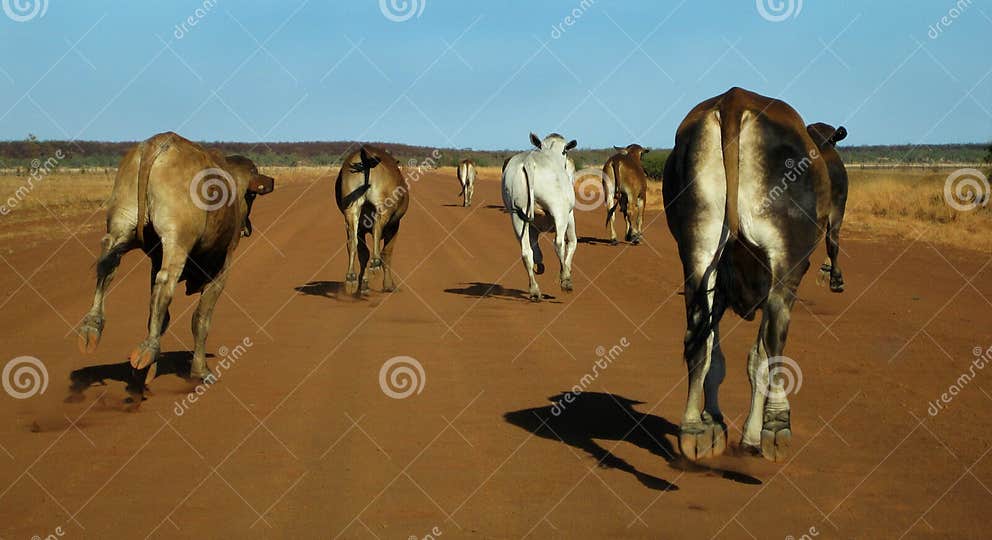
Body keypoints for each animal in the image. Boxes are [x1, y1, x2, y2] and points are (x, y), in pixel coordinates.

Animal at [76, 132, 274, 385]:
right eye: (251, 196)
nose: (247, 228)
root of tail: (159, 142)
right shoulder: (221, 270)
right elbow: (200, 319)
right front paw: (200, 370)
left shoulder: (154, 261)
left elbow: (159, 315)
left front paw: (147, 371)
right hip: (176, 241)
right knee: (165, 282)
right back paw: (148, 348)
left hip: (121, 226)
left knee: (107, 267)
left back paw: (92, 328)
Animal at [335, 145, 408, 296]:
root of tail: (365, 153)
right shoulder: (394, 226)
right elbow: (387, 253)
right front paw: (388, 285)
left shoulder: (361, 229)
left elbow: (363, 252)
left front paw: (363, 284)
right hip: (383, 208)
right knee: (376, 228)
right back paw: (375, 263)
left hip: (352, 211)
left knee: (352, 242)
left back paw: (351, 278)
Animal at [501, 133, 578, 302]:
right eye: (565, 151)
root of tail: (528, 162)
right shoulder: (569, 216)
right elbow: (572, 242)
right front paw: (566, 273)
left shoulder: (532, 225)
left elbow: (535, 250)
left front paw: (540, 264)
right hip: (559, 211)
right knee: (559, 243)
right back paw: (565, 281)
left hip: (517, 215)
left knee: (525, 252)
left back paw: (534, 290)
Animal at [662, 87, 833, 462]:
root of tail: (734, 101)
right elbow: (759, 357)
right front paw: (752, 434)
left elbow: (717, 358)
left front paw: (713, 422)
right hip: (786, 261)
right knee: (774, 339)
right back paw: (774, 426)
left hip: (699, 249)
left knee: (697, 339)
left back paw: (691, 429)